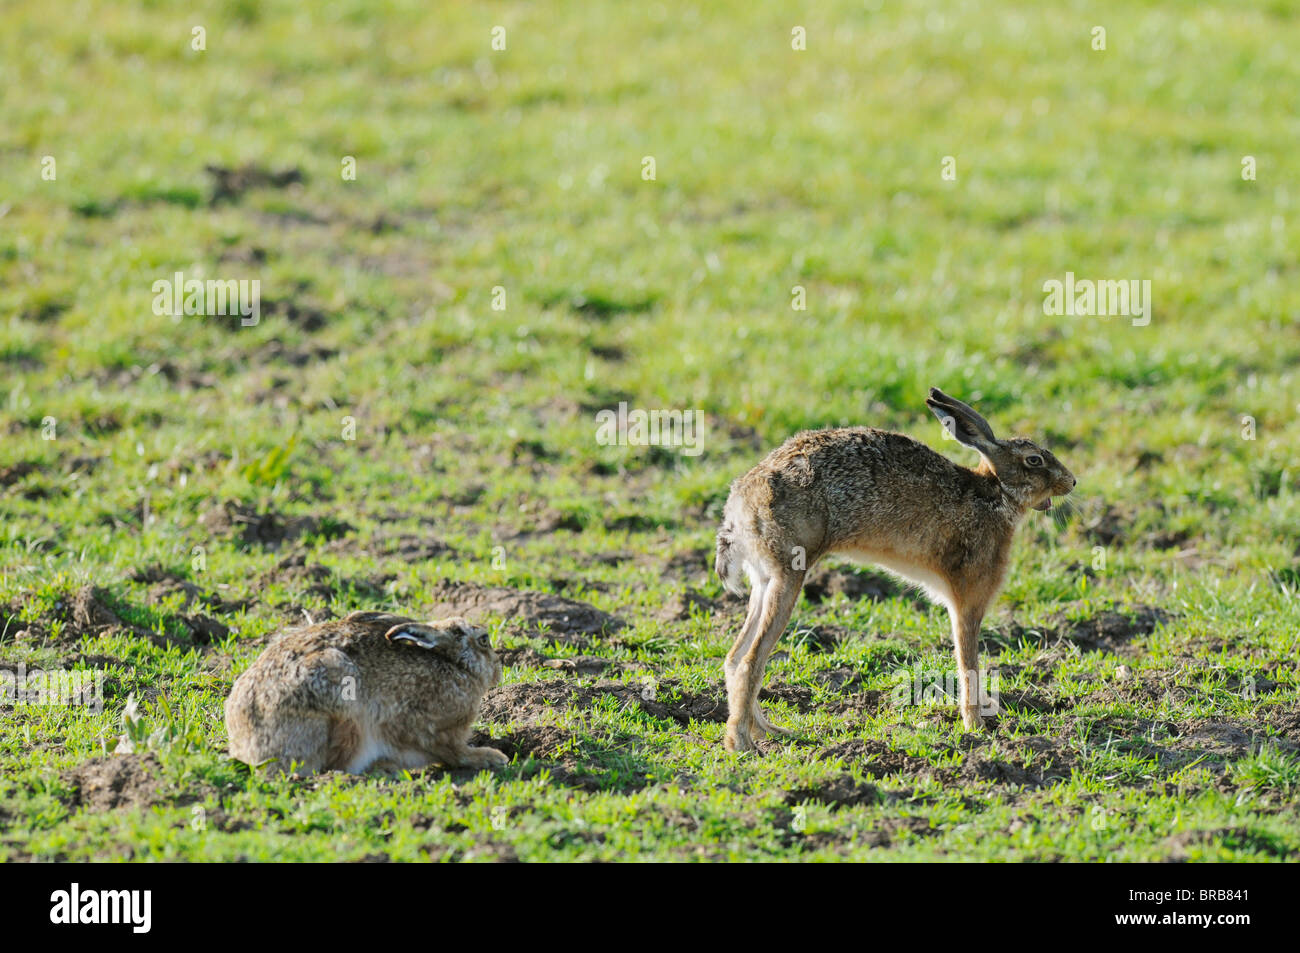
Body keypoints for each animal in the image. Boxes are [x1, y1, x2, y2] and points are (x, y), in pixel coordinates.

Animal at [225, 610, 508, 774]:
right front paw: (493, 757)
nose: (498, 670)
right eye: (484, 640)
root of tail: (249, 748)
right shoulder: (434, 729)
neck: (455, 664)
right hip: (343, 704)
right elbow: (455, 752)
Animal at [714, 387, 1076, 752]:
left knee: (734, 657)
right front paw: (975, 726)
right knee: (751, 661)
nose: (1071, 482)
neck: (997, 491)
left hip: (765, 580)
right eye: (1034, 460)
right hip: (789, 574)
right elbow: (968, 663)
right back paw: (741, 743)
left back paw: (768, 730)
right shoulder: (968, 600)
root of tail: (739, 505)